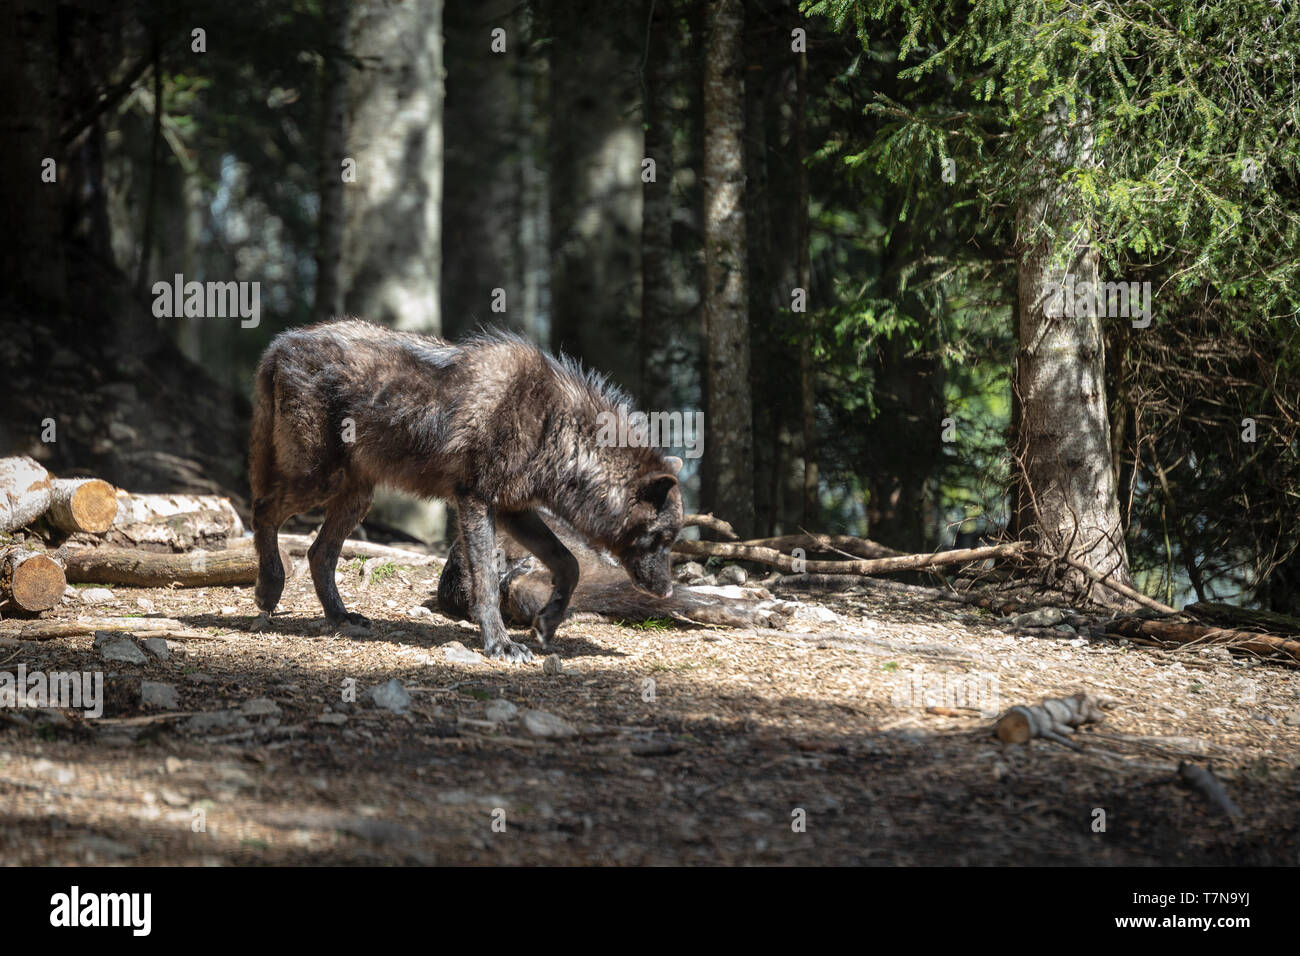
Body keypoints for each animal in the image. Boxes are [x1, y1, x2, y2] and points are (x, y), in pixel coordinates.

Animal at [249, 318, 684, 663]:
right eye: (661, 539)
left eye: (671, 540)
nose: (666, 592)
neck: (553, 425)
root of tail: (279, 344)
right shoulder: (475, 500)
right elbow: (487, 582)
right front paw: (500, 644)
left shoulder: (514, 510)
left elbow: (569, 564)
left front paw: (547, 622)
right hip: (319, 480)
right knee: (263, 510)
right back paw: (270, 590)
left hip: (356, 496)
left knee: (318, 552)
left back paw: (340, 616)